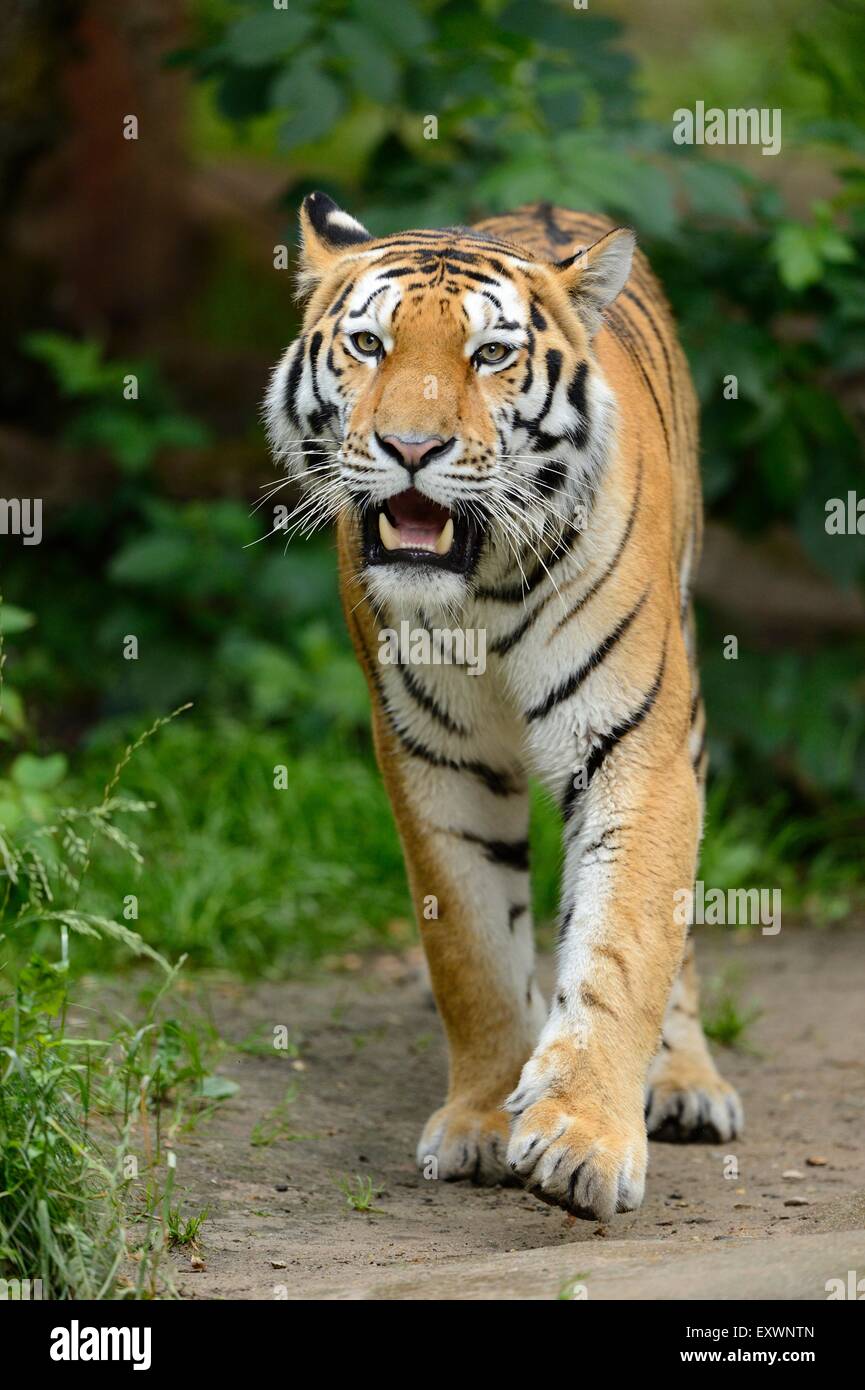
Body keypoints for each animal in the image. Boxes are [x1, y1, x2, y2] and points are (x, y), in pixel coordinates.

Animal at [265, 191, 743, 1222]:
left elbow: (623, 945)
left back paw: (686, 1083)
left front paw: (583, 1139)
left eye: (489, 355)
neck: (477, 588)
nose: (411, 450)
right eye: (368, 344)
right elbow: (473, 951)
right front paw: (485, 1116)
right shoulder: (436, 760)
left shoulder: (632, 747)